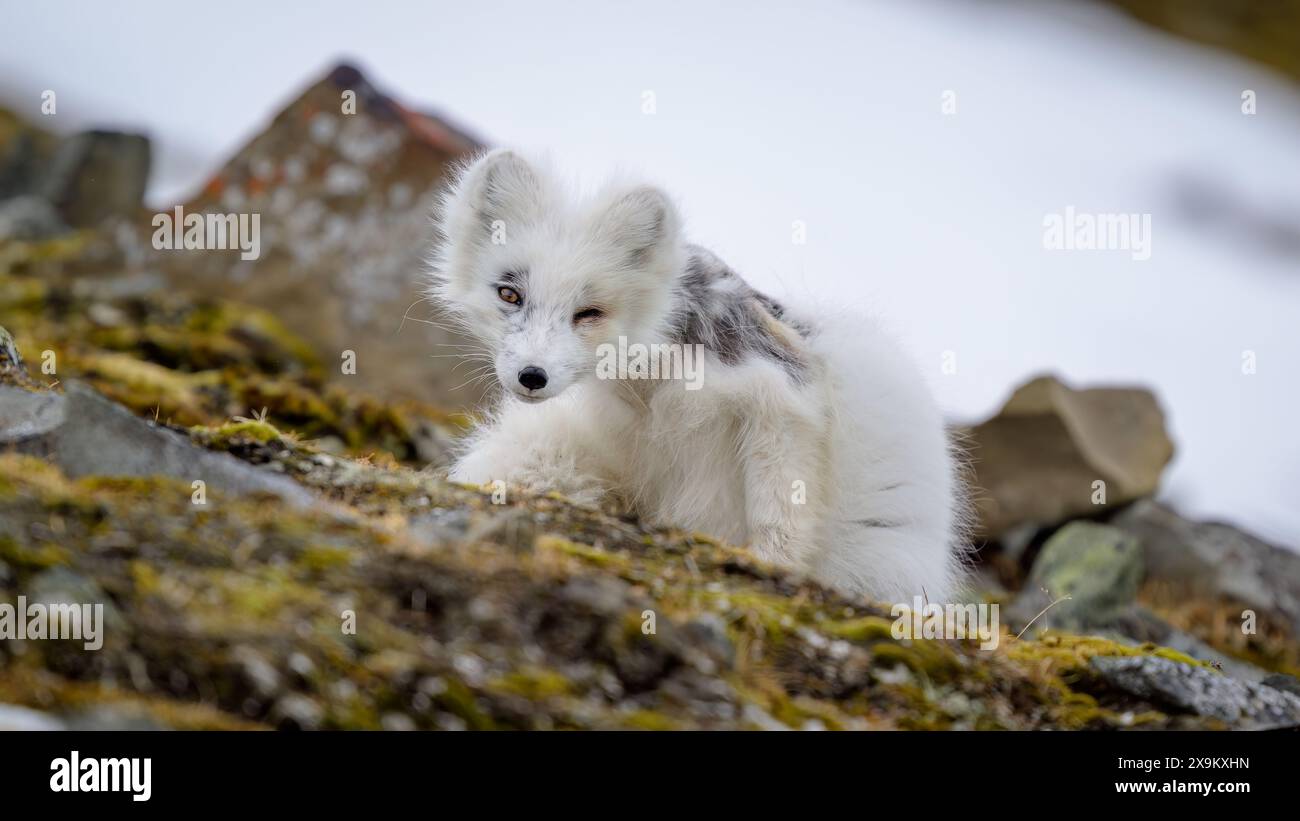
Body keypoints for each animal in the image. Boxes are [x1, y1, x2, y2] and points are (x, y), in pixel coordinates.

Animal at [428, 149, 967, 603]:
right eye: (509, 294)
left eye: (589, 312)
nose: (531, 376)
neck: (654, 376)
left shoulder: (781, 392)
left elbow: (780, 509)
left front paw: (770, 565)